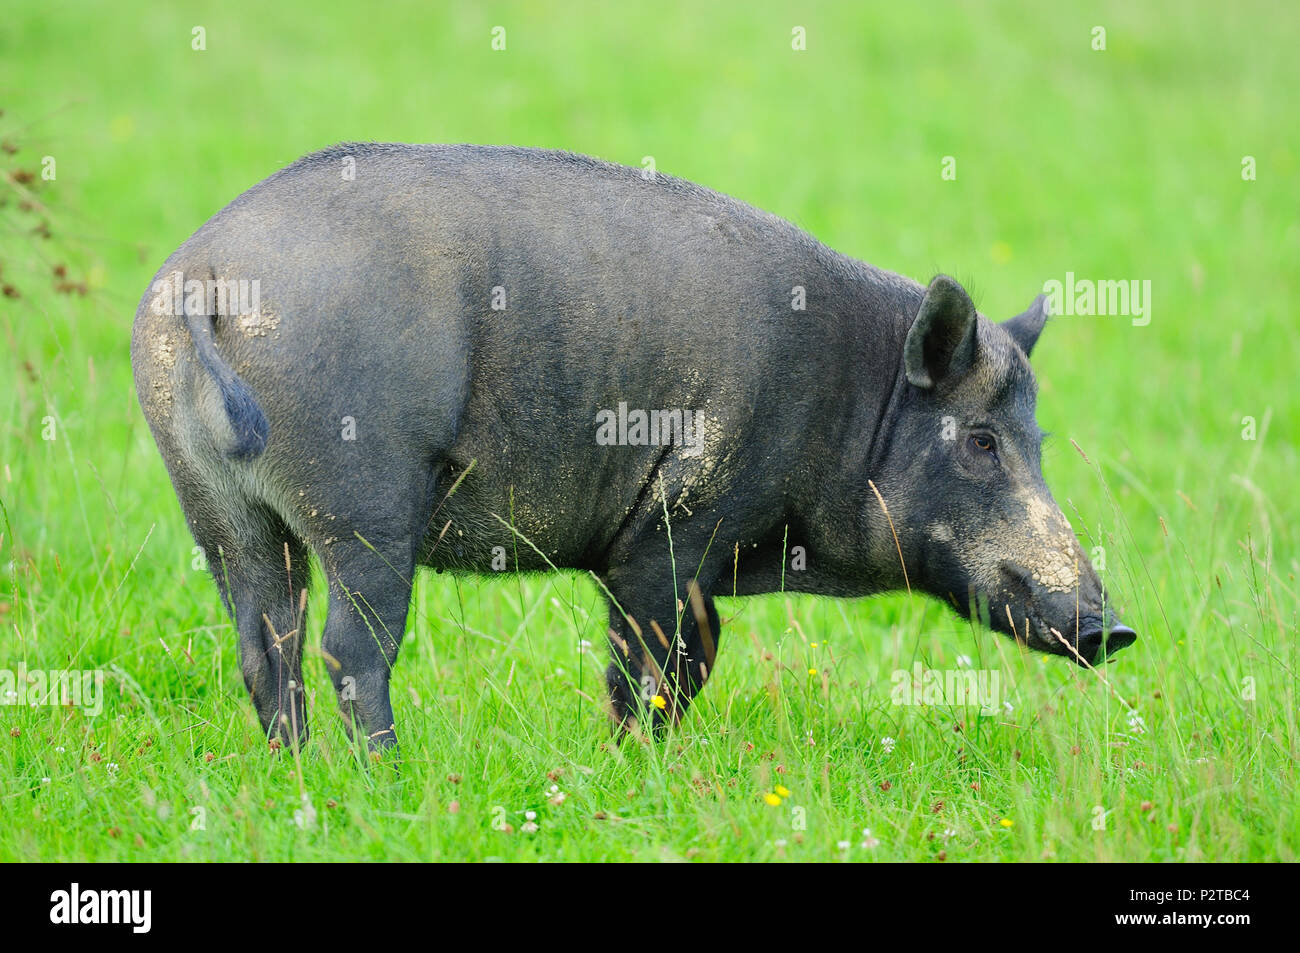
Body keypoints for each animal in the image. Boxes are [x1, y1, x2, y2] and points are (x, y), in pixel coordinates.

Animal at [131, 143, 1136, 754]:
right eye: (981, 440)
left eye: (1038, 440)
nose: (1113, 628)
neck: (854, 403)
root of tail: (205, 273)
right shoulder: (671, 528)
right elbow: (653, 660)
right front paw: (629, 760)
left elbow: (694, 658)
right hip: (363, 506)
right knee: (350, 649)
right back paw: (385, 776)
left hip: (217, 507)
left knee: (265, 643)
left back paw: (298, 773)